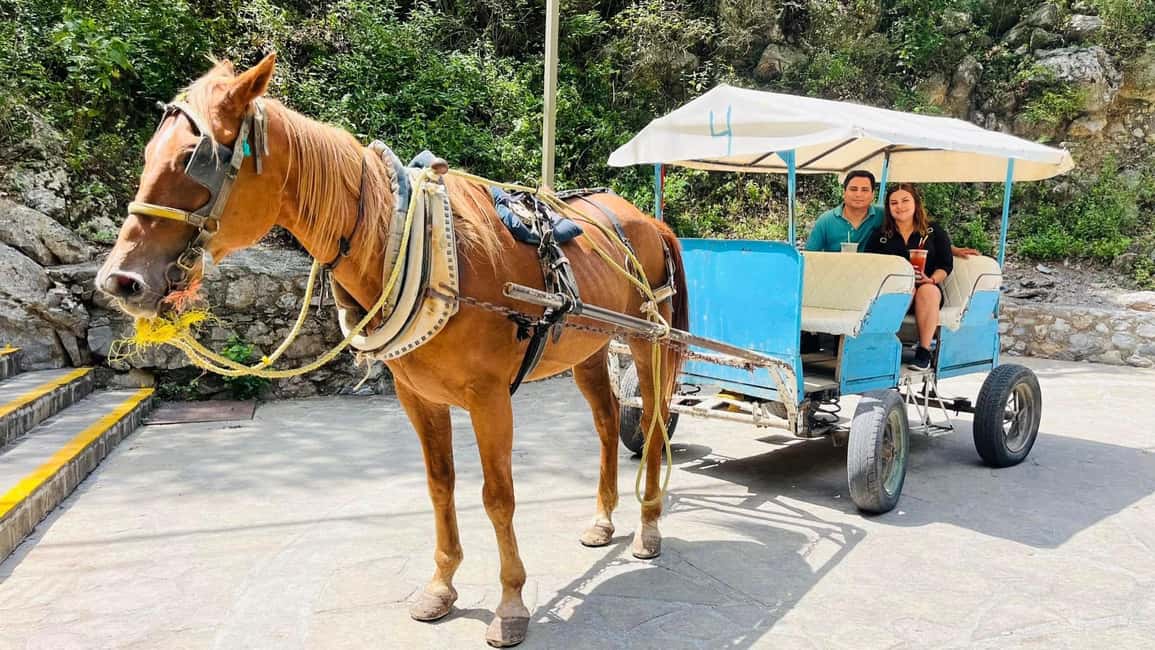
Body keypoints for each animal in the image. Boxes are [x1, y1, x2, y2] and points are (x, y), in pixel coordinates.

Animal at [95, 53, 688, 647]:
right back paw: (604, 519)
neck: (412, 245)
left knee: (653, 422)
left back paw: (649, 526)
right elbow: (440, 486)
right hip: (589, 348)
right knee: (608, 424)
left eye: (192, 161)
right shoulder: (417, 396)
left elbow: (498, 496)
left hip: (647, 341)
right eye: (149, 155)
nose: (119, 281)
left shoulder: (490, 398)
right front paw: (441, 586)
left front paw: (511, 603)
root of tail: (648, 219)